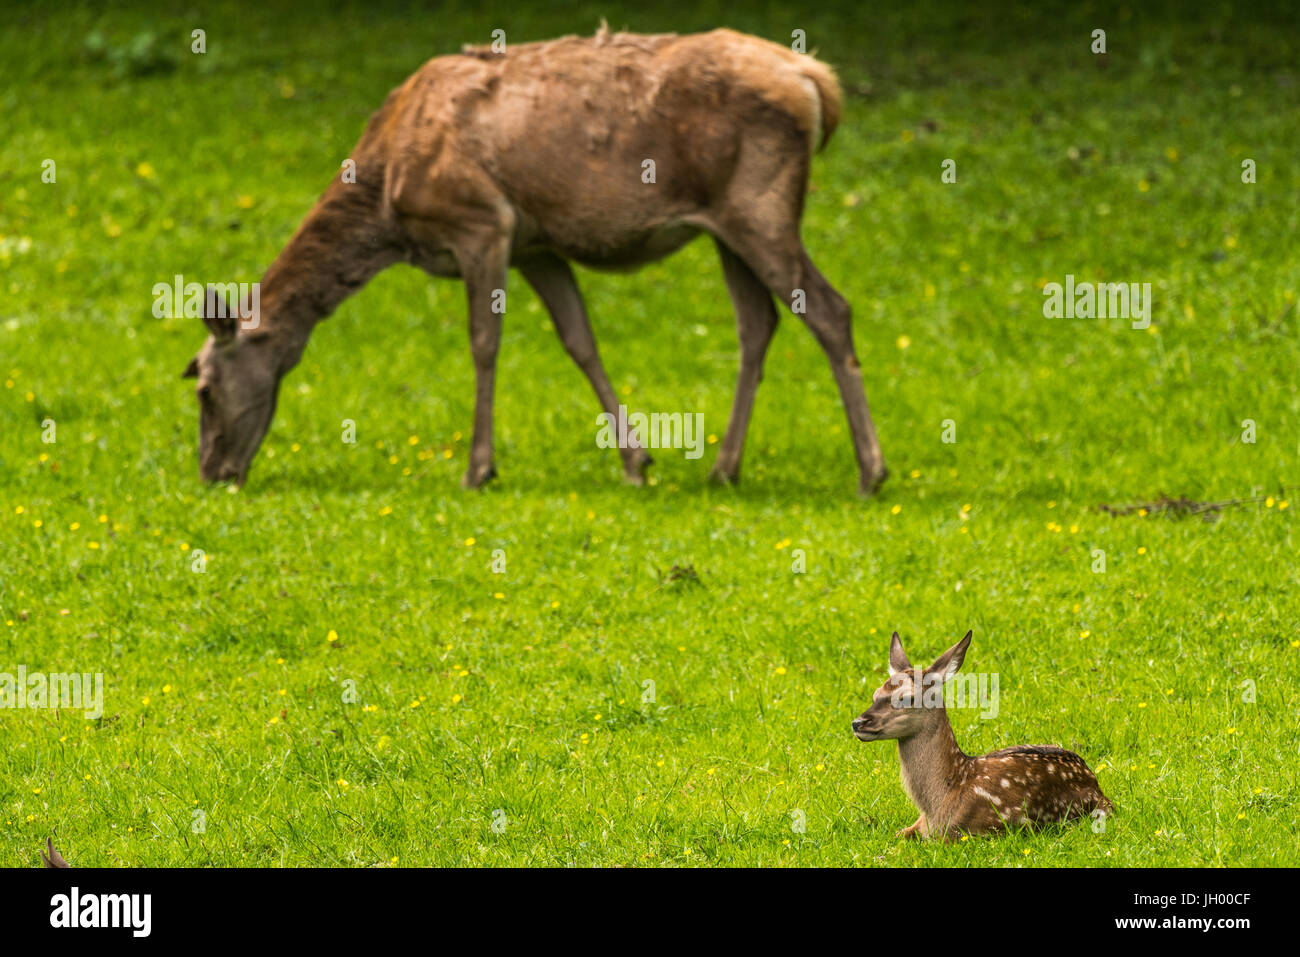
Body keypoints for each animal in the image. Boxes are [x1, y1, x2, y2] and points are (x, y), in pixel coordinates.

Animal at [181, 25, 888, 495]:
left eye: (205, 389)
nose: (213, 472)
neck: (386, 198)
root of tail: (817, 83)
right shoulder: (537, 247)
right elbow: (580, 342)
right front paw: (636, 462)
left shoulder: (483, 224)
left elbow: (483, 344)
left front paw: (478, 468)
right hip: (726, 228)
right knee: (757, 325)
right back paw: (723, 467)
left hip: (759, 208)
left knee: (832, 311)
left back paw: (871, 471)